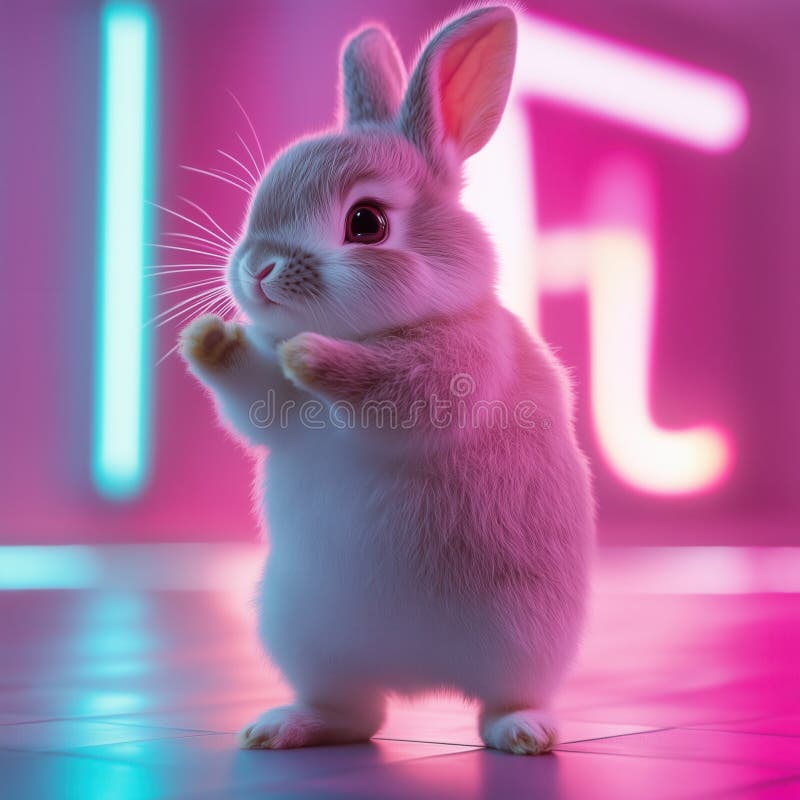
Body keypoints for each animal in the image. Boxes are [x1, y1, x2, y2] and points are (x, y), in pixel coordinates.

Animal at [180, 4, 594, 755]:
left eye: (366, 222)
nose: (257, 268)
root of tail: (416, 680)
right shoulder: (276, 411)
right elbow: (256, 400)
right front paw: (209, 336)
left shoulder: (452, 370)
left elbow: (388, 391)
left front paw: (312, 355)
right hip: (305, 633)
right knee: (358, 715)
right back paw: (277, 728)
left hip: (526, 639)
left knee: (499, 703)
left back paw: (524, 733)